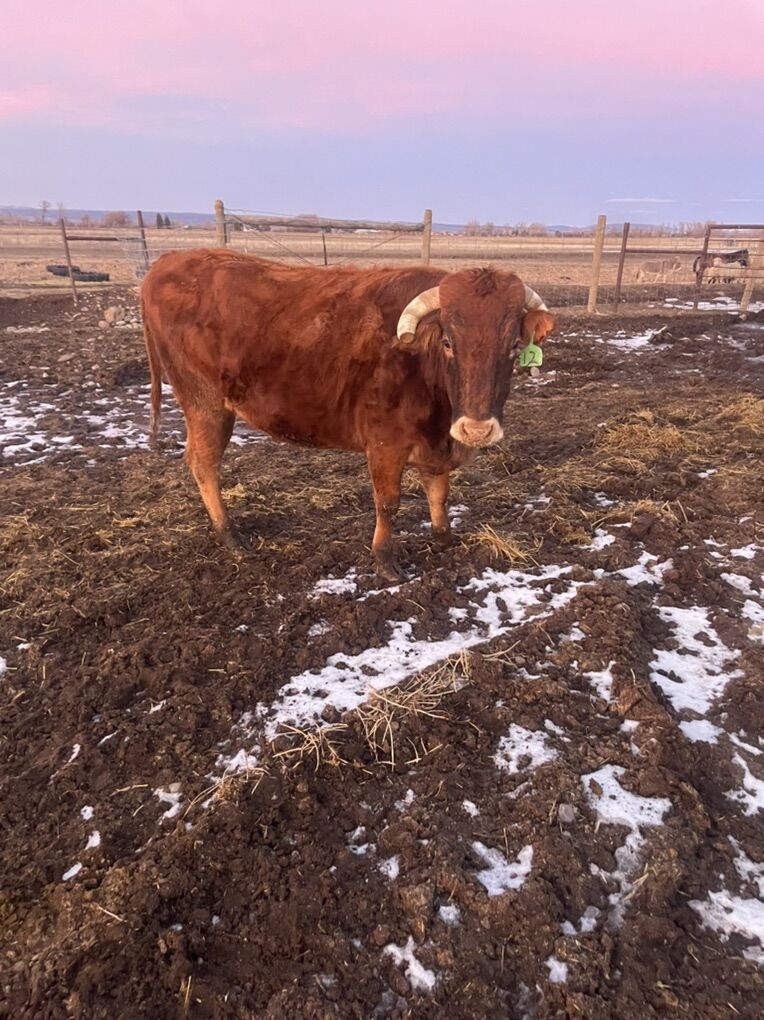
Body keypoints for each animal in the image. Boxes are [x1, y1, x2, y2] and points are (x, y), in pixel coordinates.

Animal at [141, 251, 555, 579]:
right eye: (448, 342)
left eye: (513, 346)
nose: (477, 429)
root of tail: (168, 261)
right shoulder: (385, 443)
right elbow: (388, 502)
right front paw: (385, 562)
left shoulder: (436, 444)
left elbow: (439, 492)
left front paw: (443, 539)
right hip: (205, 404)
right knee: (204, 463)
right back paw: (230, 536)